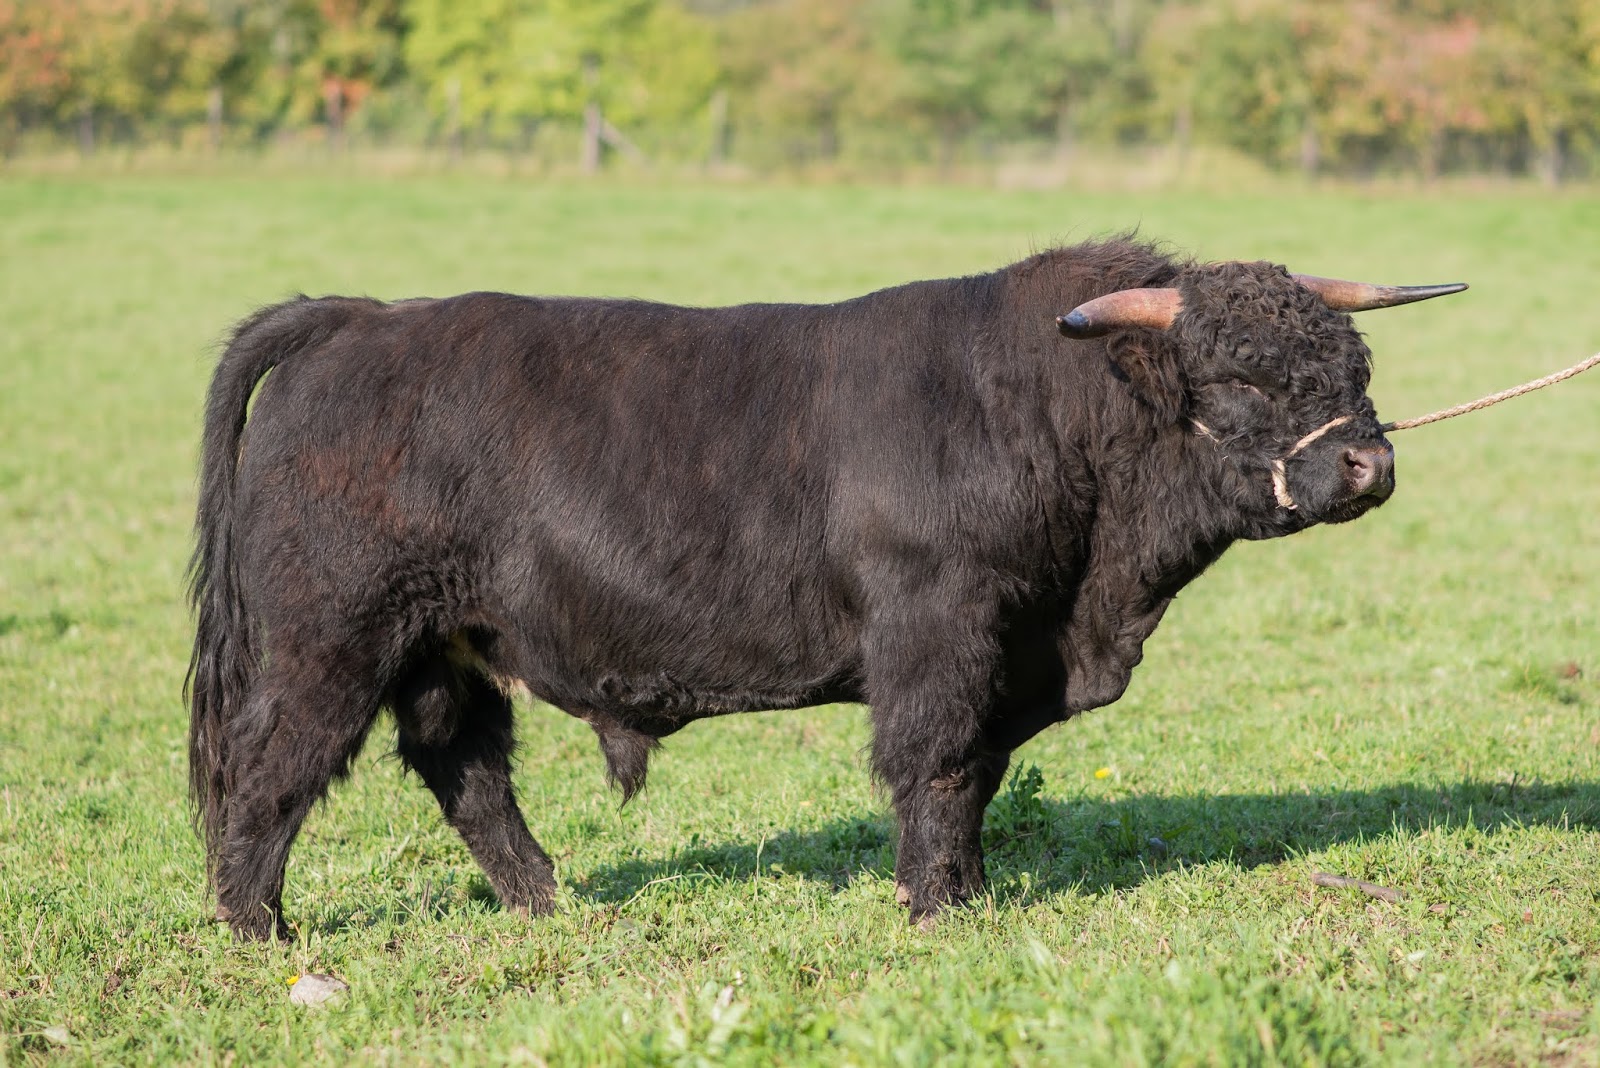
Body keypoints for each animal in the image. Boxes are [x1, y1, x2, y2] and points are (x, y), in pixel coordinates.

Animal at [186, 238, 1464, 940]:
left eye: (1352, 363)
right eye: (1239, 376)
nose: (1369, 464)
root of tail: (361, 320)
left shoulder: (1010, 655)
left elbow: (977, 776)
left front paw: (972, 893)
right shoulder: (938, 633)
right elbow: (933, 764)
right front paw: (932, 907)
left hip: (442, 647)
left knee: (465, 771)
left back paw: (547, 902)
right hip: (332, 638)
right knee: (269, 766)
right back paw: (259, 930)